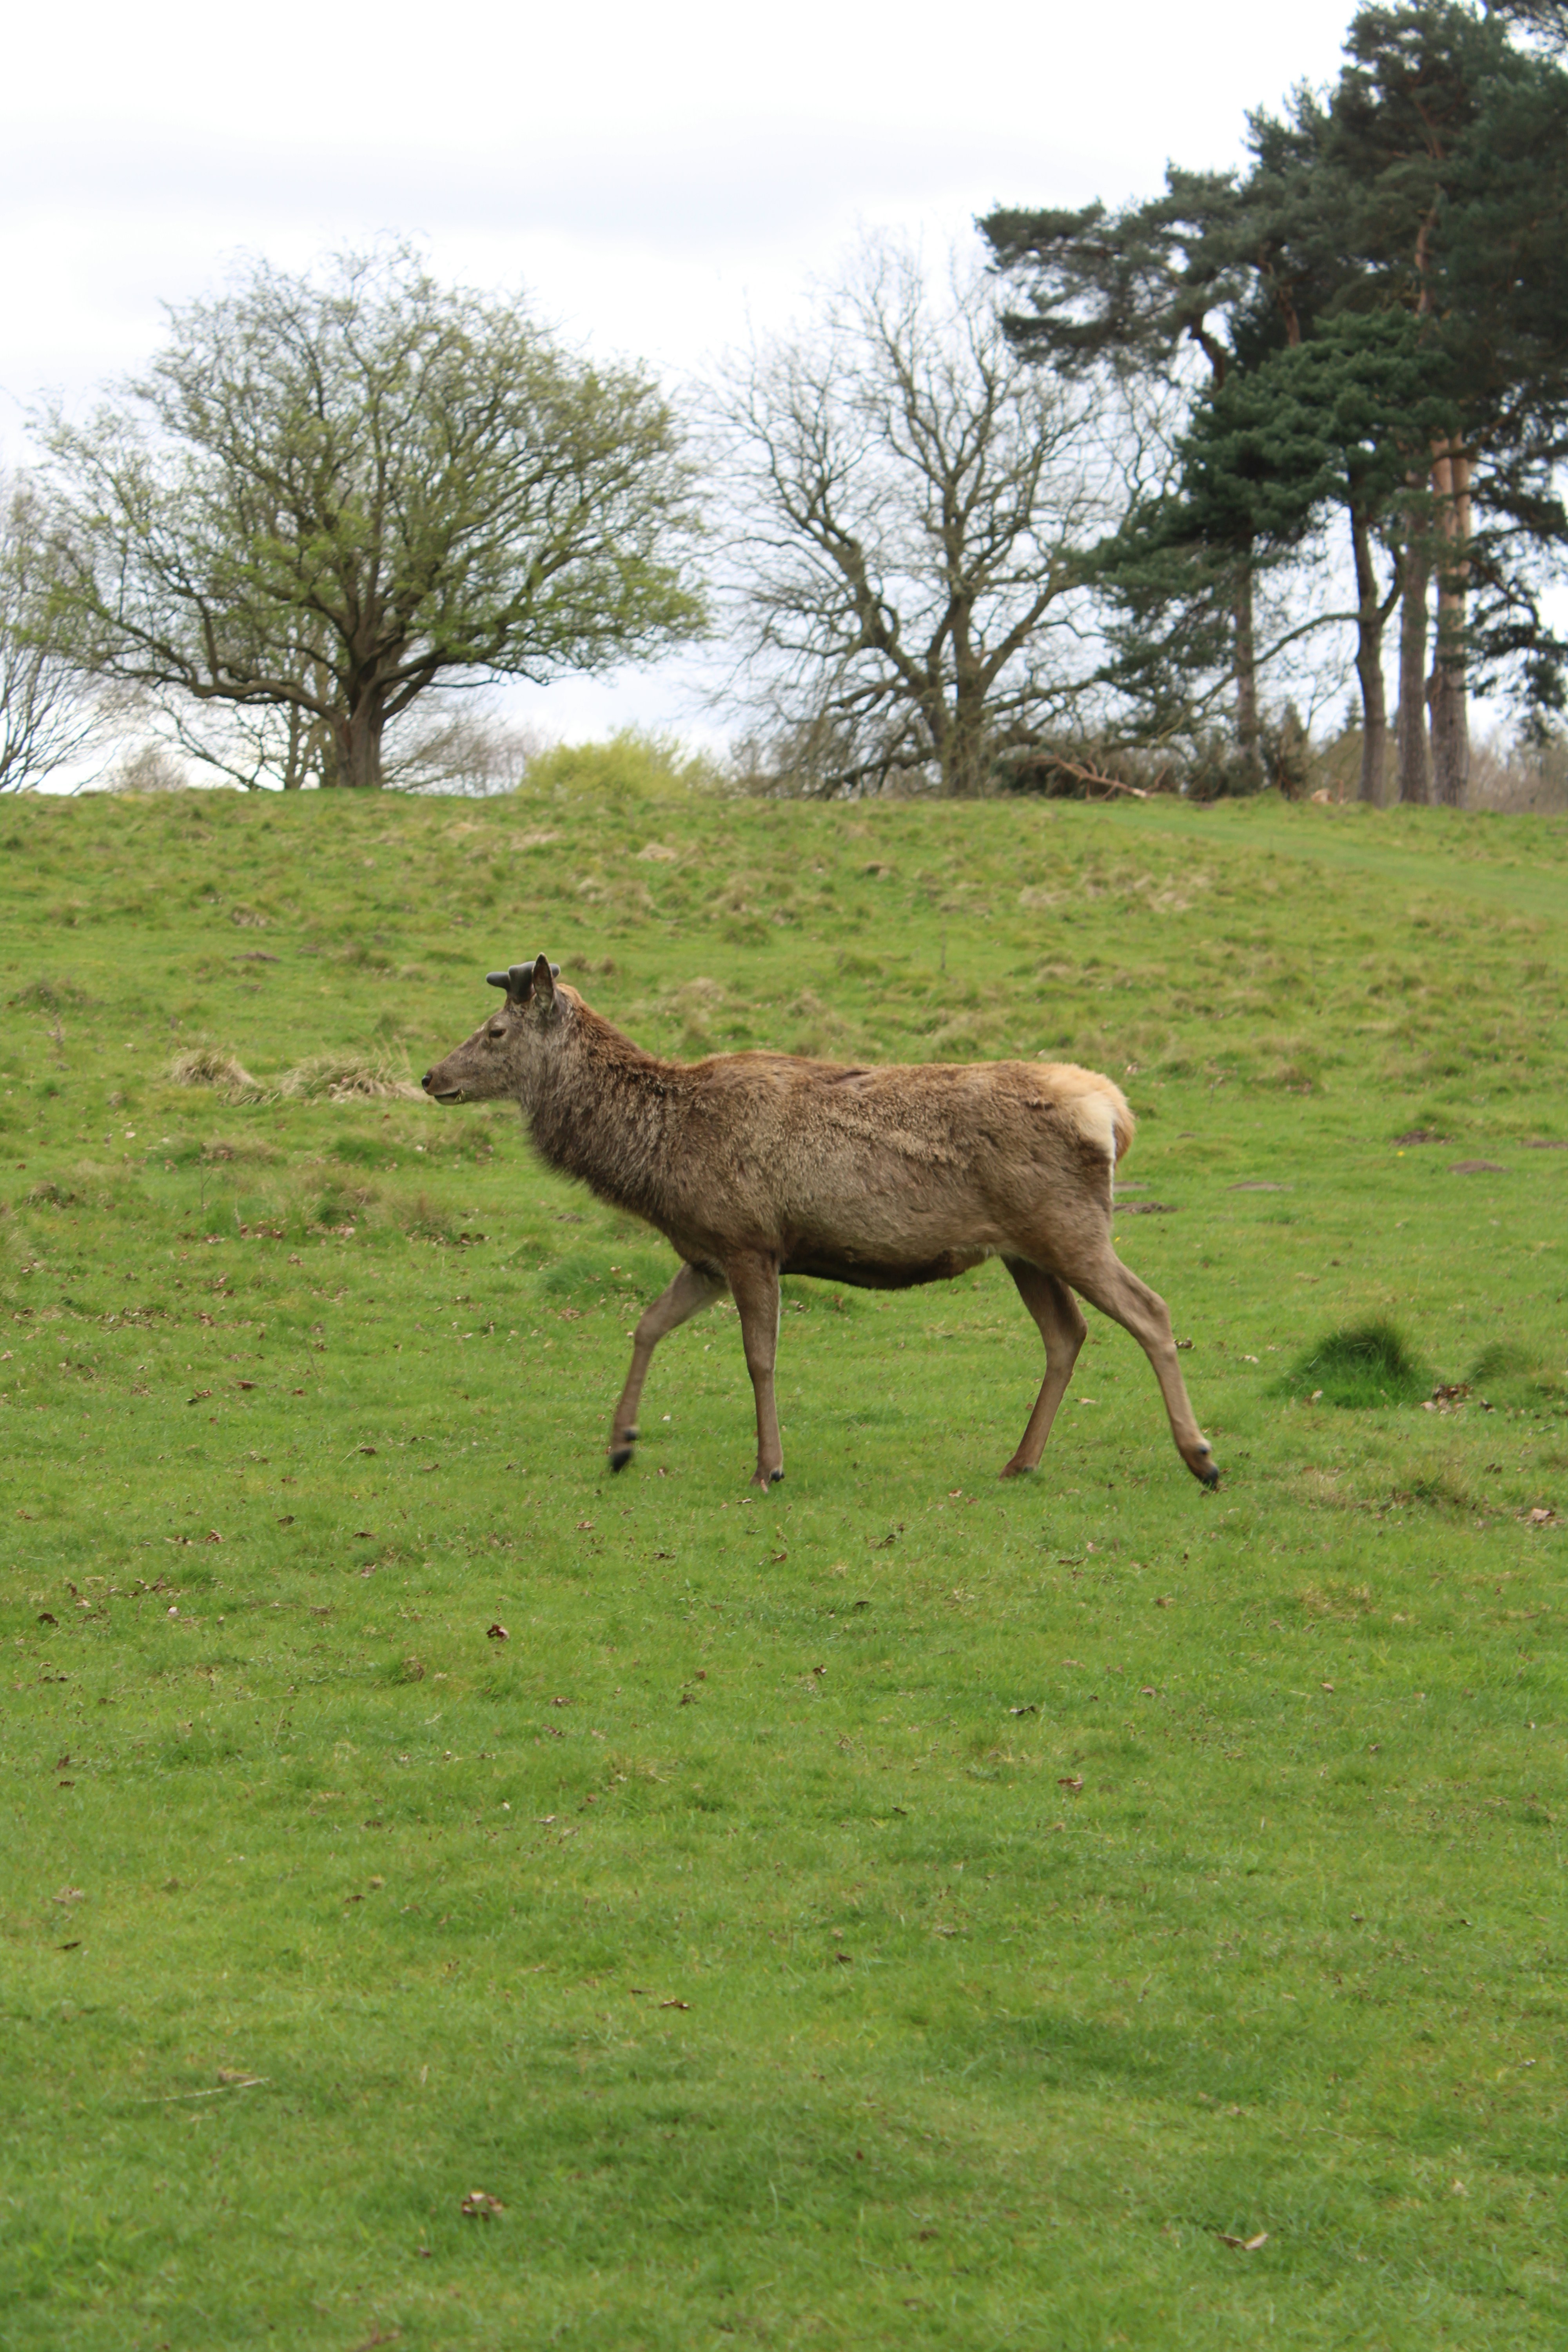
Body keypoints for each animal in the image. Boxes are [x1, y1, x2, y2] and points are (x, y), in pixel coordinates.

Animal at [422, 955, 1217, 1495]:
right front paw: (621, 1443)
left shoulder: (749, 1240)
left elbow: (760, 1357)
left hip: (1070, 1228)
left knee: (1150, 1310)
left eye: (495, 1030)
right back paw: (1021, 1461)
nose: (432, 1077)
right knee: (1067, 1334)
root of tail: (1113, 1112)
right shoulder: (706, 1253)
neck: (661, 1161)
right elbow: (646, 1325)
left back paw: (1200, 1457)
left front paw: (768, 1466)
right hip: (1024, 1250)